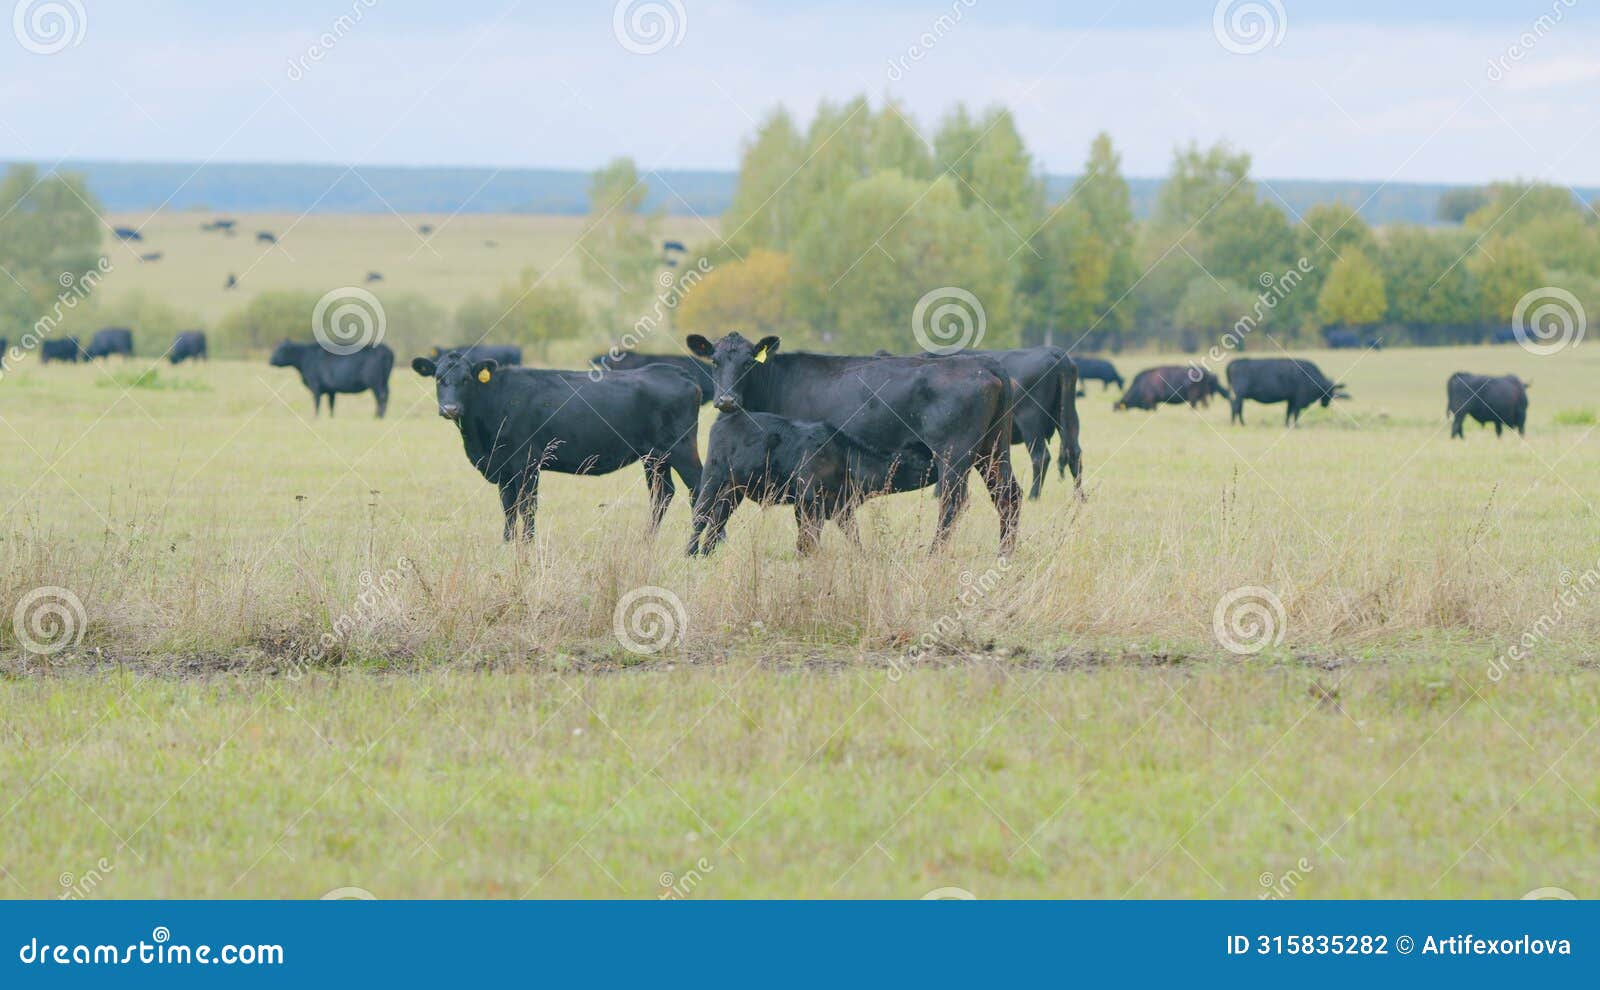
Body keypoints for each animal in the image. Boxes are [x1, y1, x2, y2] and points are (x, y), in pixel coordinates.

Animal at [411, 350, 703, 541]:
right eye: (438, 378)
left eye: (466, 379)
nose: (450, 408)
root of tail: (674, 371)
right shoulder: (503, 469)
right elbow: (509, 507)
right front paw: (507, 543)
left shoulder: (527, 462)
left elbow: (527, 506)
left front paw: (527, 545)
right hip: (654, 457)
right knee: (662, 494)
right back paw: (647, 540)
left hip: (681, 450)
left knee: (698, 489)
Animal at [689, 411, 937, 556]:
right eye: (920, 461)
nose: (938, 467)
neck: (844, 458)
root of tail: (727, 418)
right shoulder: (807, 502)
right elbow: (808, 538)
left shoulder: (841, 506)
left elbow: (852, 535)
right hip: (713, 480)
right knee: (701, 516)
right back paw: (690, 553)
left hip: (734, 491)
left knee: (718, 520)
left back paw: (707, 554)